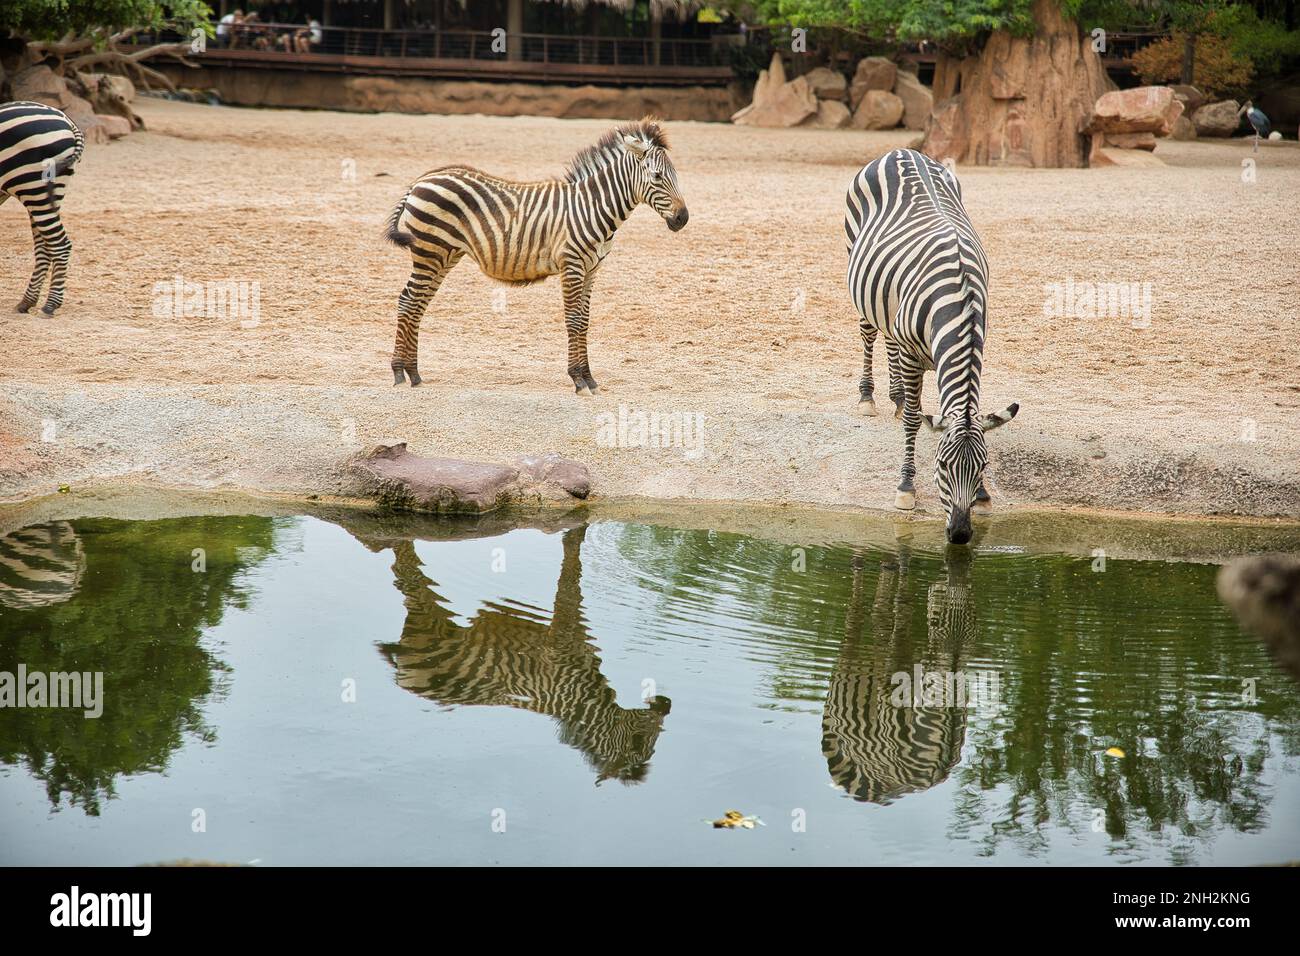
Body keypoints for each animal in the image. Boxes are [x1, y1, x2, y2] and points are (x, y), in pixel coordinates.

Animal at [1, 102, 84, 316]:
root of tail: (68, 121)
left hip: (33, 188)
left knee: (60, 244)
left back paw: (50, 305)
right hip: (45, 193)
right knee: (45, 246)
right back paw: (27, 302)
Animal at [383, 118, 688, 393]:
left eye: (676, 176)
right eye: (657, 177)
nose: (683, 219)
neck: (592, 207)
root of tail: (420, 181)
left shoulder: (592, 269)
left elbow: (585, 321)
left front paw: (589, 378)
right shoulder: (572, 265)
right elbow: (573, 319)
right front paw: (578, 380)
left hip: (443, 255)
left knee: (417, 304)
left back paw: (413, 373)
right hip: (430, 252)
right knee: (408, 301)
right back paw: (399, 371)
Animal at [846, 148, 1018, 544]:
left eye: (984, 465)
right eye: (941, 465)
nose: (960, 535)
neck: (960, 297)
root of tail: (902, 151)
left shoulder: (977, 343)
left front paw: (983, 496)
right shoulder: (913, 352)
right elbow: (914, 420)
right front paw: (906, 488)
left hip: (891, 300)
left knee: (889, 339)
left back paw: (895, 397)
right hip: (859, 275)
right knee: (869, 334)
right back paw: (869, 396)